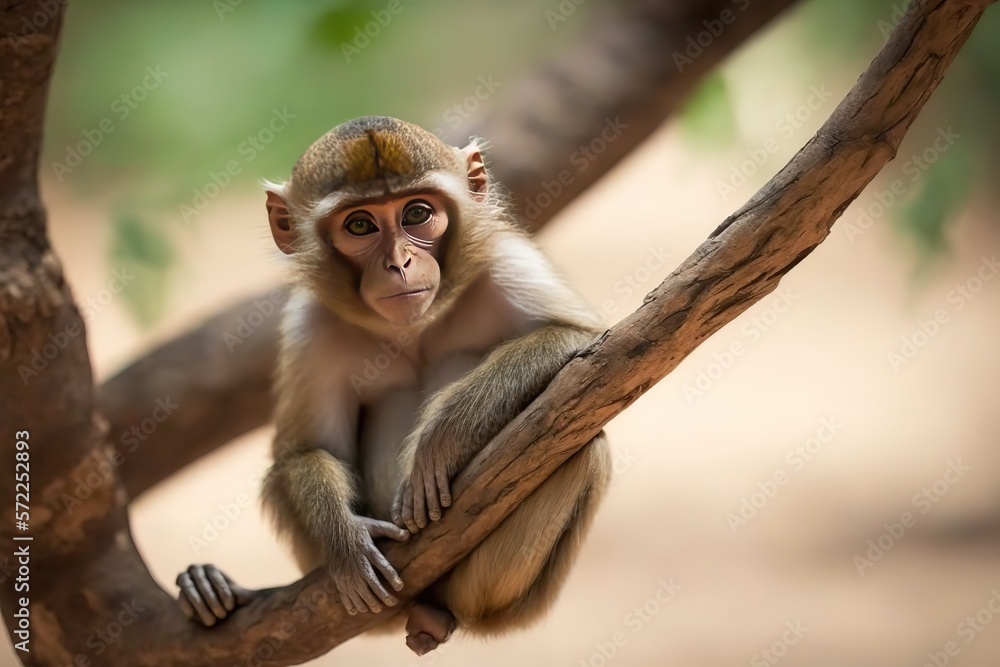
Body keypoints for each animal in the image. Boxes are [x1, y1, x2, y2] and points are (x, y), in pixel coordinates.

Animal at [175, 116, 611, 655]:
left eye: (417, 213)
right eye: (360, 225)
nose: (400, 263)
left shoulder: (509, 262)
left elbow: (581, 337)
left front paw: (438, 442)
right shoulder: (310, 327)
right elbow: (305, 451)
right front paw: (344, 537)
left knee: (581, 449)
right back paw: (217, 594)